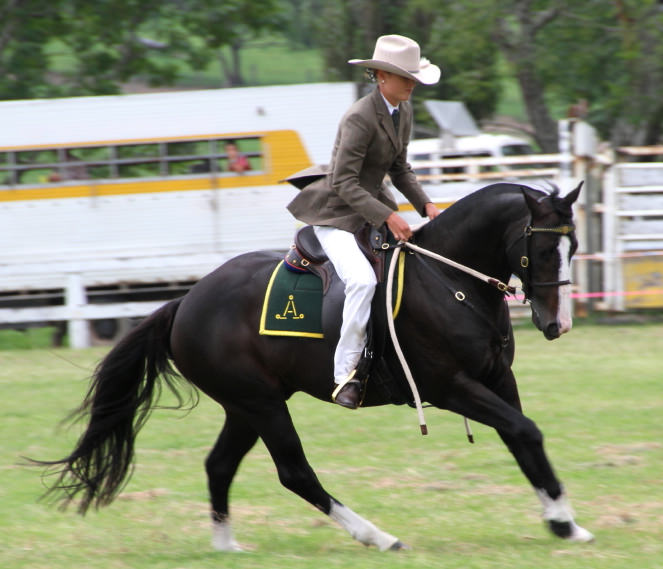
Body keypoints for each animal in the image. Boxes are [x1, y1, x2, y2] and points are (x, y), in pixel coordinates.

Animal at [35, 181, 594, 551]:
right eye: (544, 248)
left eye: (573, 246)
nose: (557, 324)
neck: (448, 280)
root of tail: (186, 302)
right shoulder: (451, 386)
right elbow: (524, 430)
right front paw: (563, 519)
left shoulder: (497, 378)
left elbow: (524, 438)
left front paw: (563, 521)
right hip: (260, 405)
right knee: (295, 472)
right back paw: (376, 536)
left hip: (247, 407)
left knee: (220, 465)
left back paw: (227, 547)